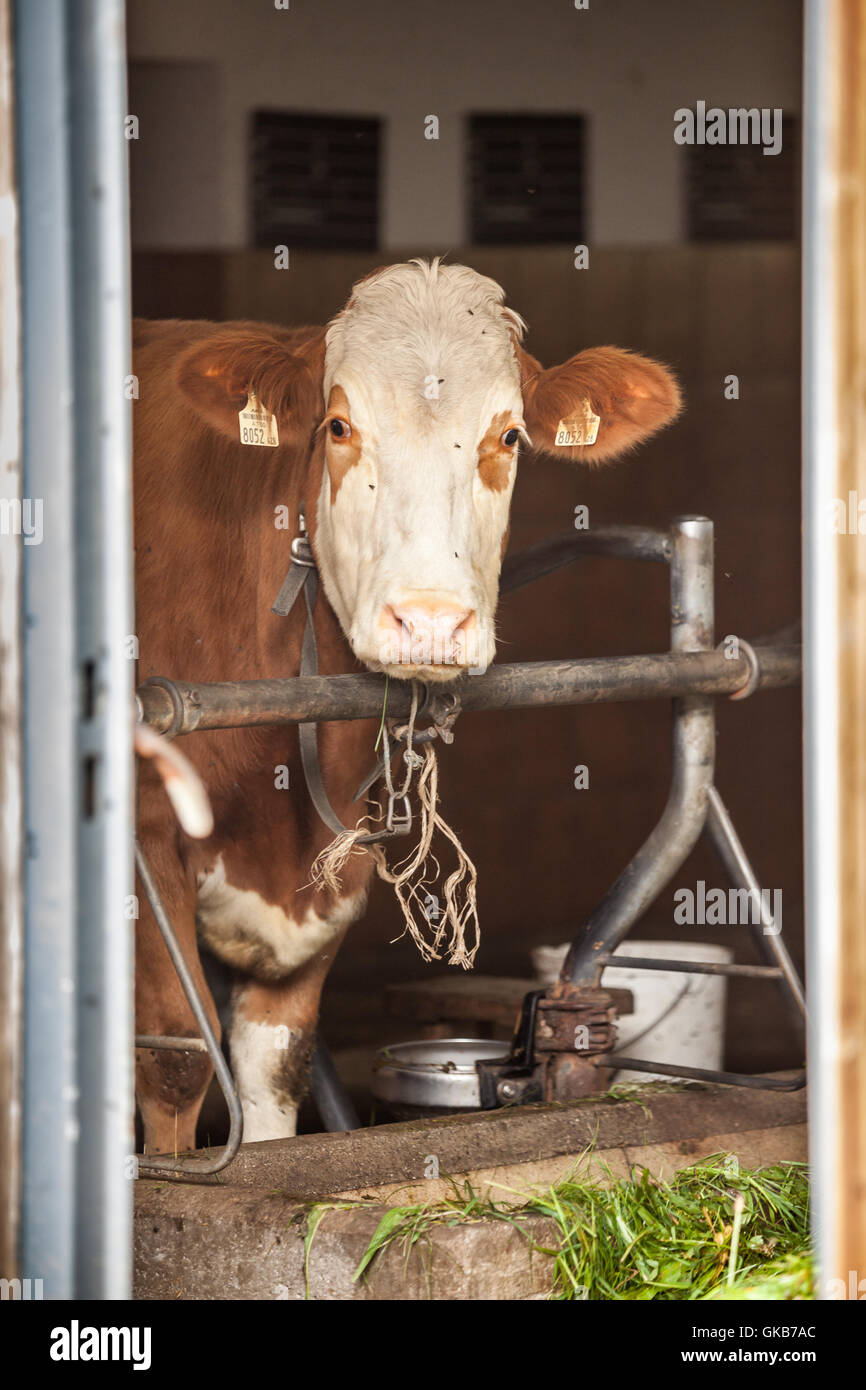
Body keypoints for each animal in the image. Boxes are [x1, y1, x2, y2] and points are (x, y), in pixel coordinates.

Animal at [133, 258, 681, 1153]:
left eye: (510, 436)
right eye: (338, 426)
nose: (429, 621)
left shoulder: (331, 873)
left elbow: (274, 1067)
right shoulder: (147, 840)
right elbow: (177, 1060)